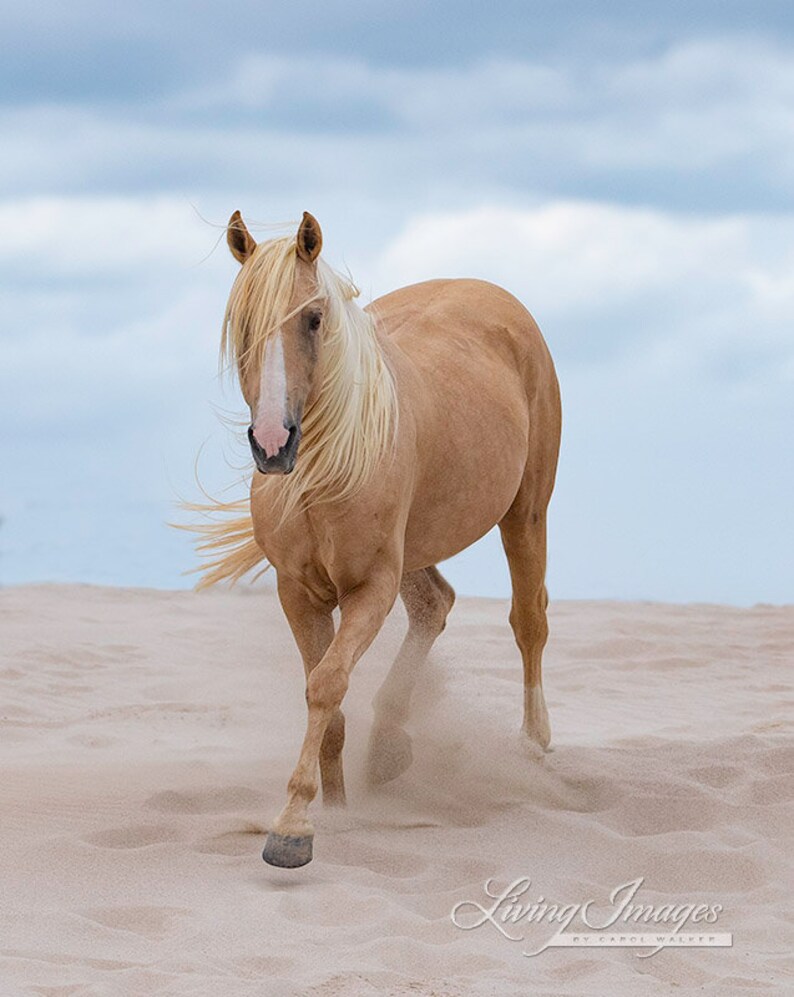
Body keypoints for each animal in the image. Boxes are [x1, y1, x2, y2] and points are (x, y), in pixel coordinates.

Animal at [194, 211, 561, 868]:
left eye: (314, 318)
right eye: (242, 322)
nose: (272, 443)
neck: (319, 474)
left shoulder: (369, 589)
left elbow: (326, 686)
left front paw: (293, 828)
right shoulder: (300, 594)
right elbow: (330, 705)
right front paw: (338, 812)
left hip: (526, 513)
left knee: (529, 622)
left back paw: (531, 745)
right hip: (416, 546)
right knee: (436, 604)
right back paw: (390, 747)